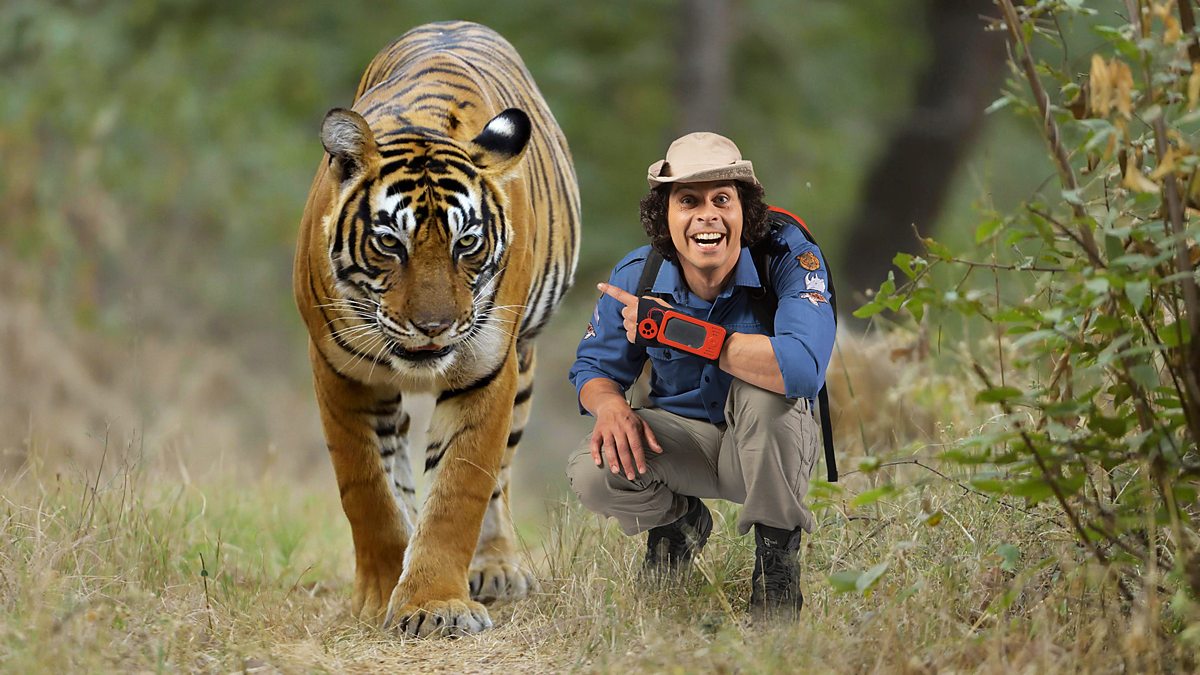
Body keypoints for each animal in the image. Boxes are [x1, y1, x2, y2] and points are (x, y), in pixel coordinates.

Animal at [292, 21, 579, 638]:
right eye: (388, 242)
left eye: (465, 243)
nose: (433, 327)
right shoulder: (339, 369)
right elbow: (367, 489)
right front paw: (381, 594)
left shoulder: (487, 370)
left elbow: (459, 492)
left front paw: (434, 605)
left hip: (523, 366)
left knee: (499, 478)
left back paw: (494, 569)